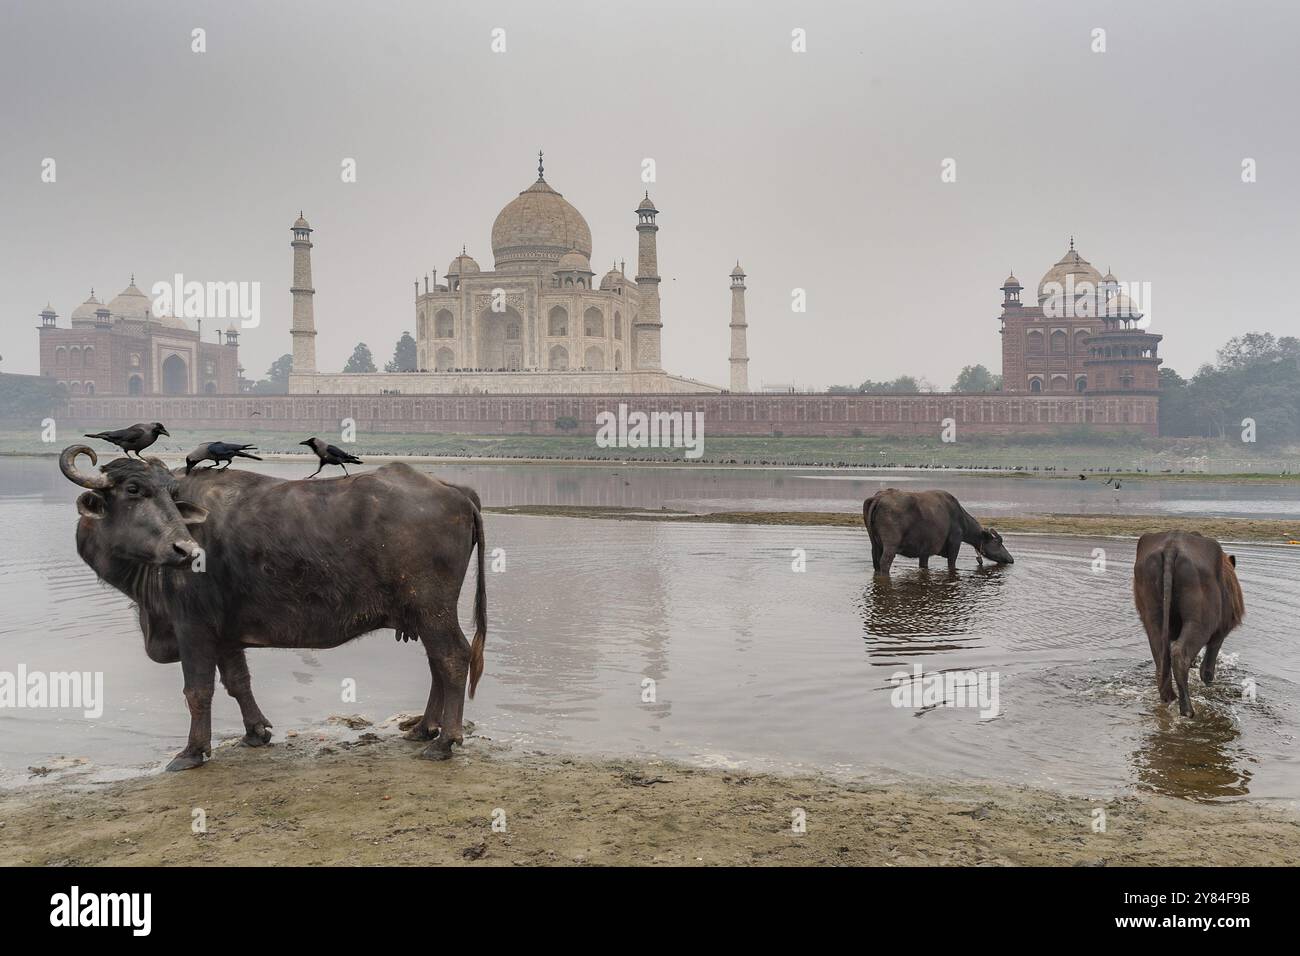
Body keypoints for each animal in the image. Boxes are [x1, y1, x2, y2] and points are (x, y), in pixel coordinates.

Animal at [59, 444, 486, 769]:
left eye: (169, 494)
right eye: (133, 489)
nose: (186, 550)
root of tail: (453, 490)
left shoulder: (192, 628)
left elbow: (197, 690)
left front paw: (192, 752)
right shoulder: (225, 635)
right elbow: (237, 682)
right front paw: (255, 732)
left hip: (433, 608)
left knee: (452, 658)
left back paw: (444, 741)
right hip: (423, 613)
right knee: (436, 663)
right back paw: (423, 729)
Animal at [863, 489, 1013, 574]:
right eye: (999, 542)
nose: (1011, 559)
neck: (961, 520)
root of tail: (878, 497)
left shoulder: (924, 552)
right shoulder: (955, 543)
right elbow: (952, 564)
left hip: (874, 544)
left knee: (875, 560)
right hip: (891, 545)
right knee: (885, 562)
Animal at [1133, 531, 1244, 717]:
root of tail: (1171, 545)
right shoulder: (1220, 633)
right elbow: (1207, 670)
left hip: (1152, 617)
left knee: (1161, 659)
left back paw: (1168, 698)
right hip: (1201, 622)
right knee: (1180, 655)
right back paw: (1187, 710)